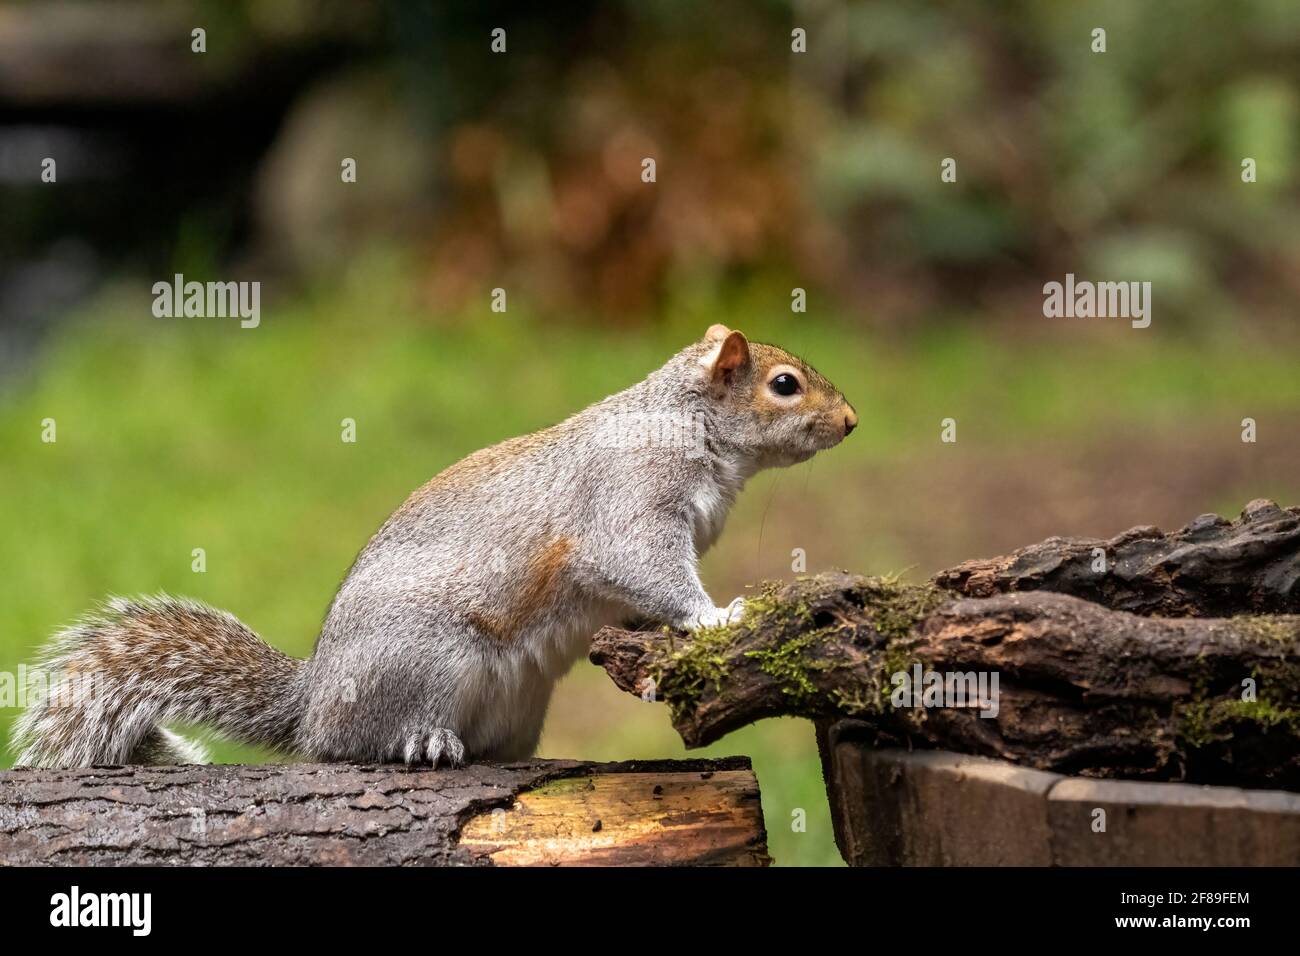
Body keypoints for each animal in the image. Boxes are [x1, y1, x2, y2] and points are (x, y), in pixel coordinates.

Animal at [12, 325, 856, 768]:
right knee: (363, 741)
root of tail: (314, 702)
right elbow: (645, 568)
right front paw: (716, 616)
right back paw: (422, 740)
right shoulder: (630, 504)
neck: (689, 425)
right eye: (784, 384)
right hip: (430, 659)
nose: (851, 421)